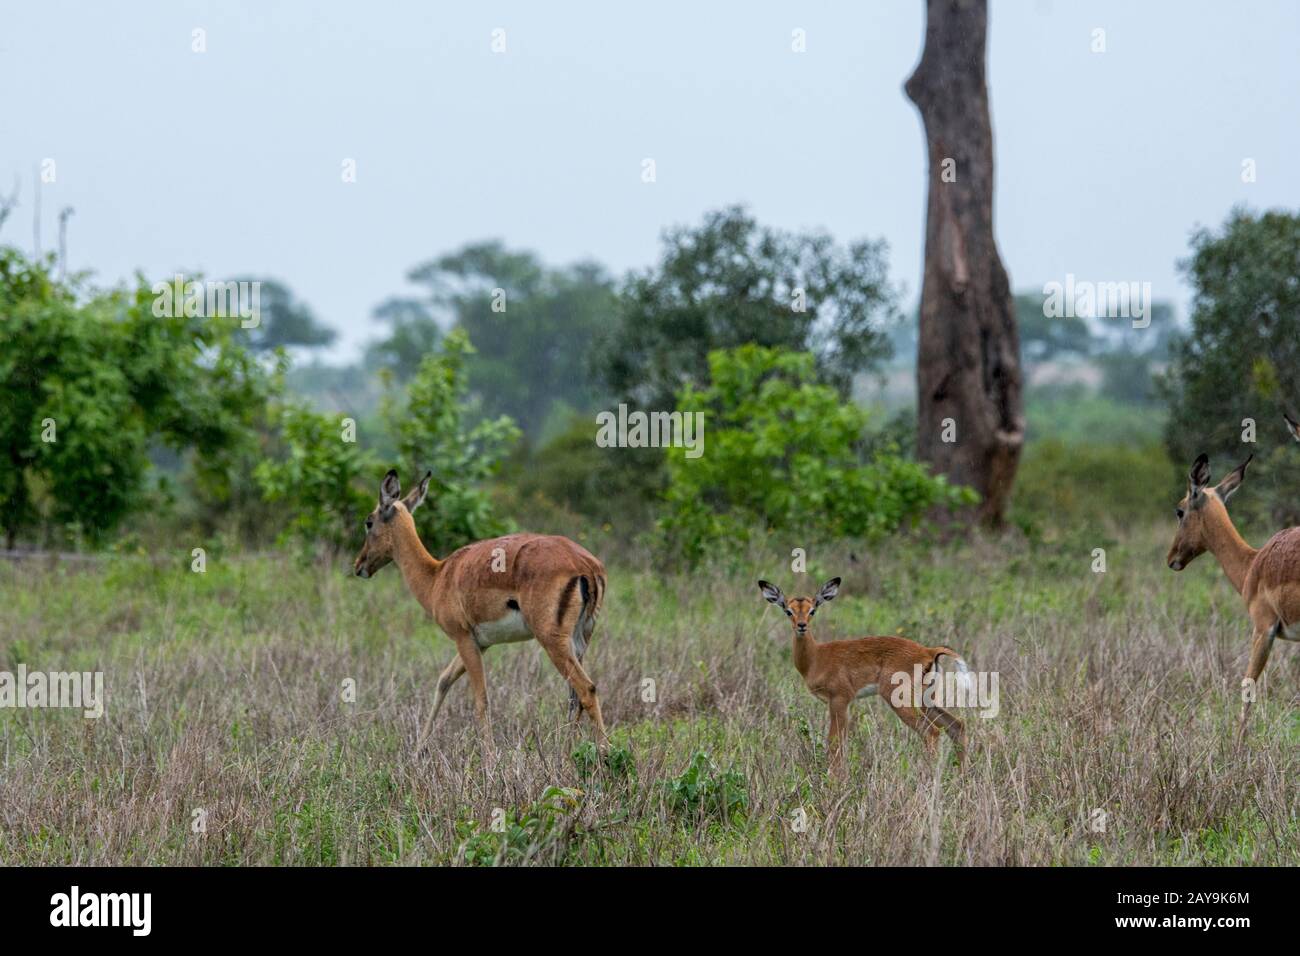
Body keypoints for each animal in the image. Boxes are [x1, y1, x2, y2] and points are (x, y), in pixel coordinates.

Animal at [354, 469, 609, 754]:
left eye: (368, 522)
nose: (359, 565)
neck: (438, 576)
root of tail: (586, 565)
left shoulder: (463, 638)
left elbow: (480, 700)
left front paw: (489, 757)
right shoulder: (481, 643)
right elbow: (444, 680)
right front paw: (419, 749)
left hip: (553, 641)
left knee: (586, 689)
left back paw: (604, 752)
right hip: (580, 641)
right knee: (574, 697)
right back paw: (568, 750)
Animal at [757, 578, 970, 772]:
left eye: (812, 610)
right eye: (788, 611)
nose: (801, 625)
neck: (816, 657)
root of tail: (928, 651)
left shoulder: (840, 699)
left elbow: (834, 744)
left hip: (899, 699)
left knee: (931, 731)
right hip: (925, 700)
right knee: (956, 725)